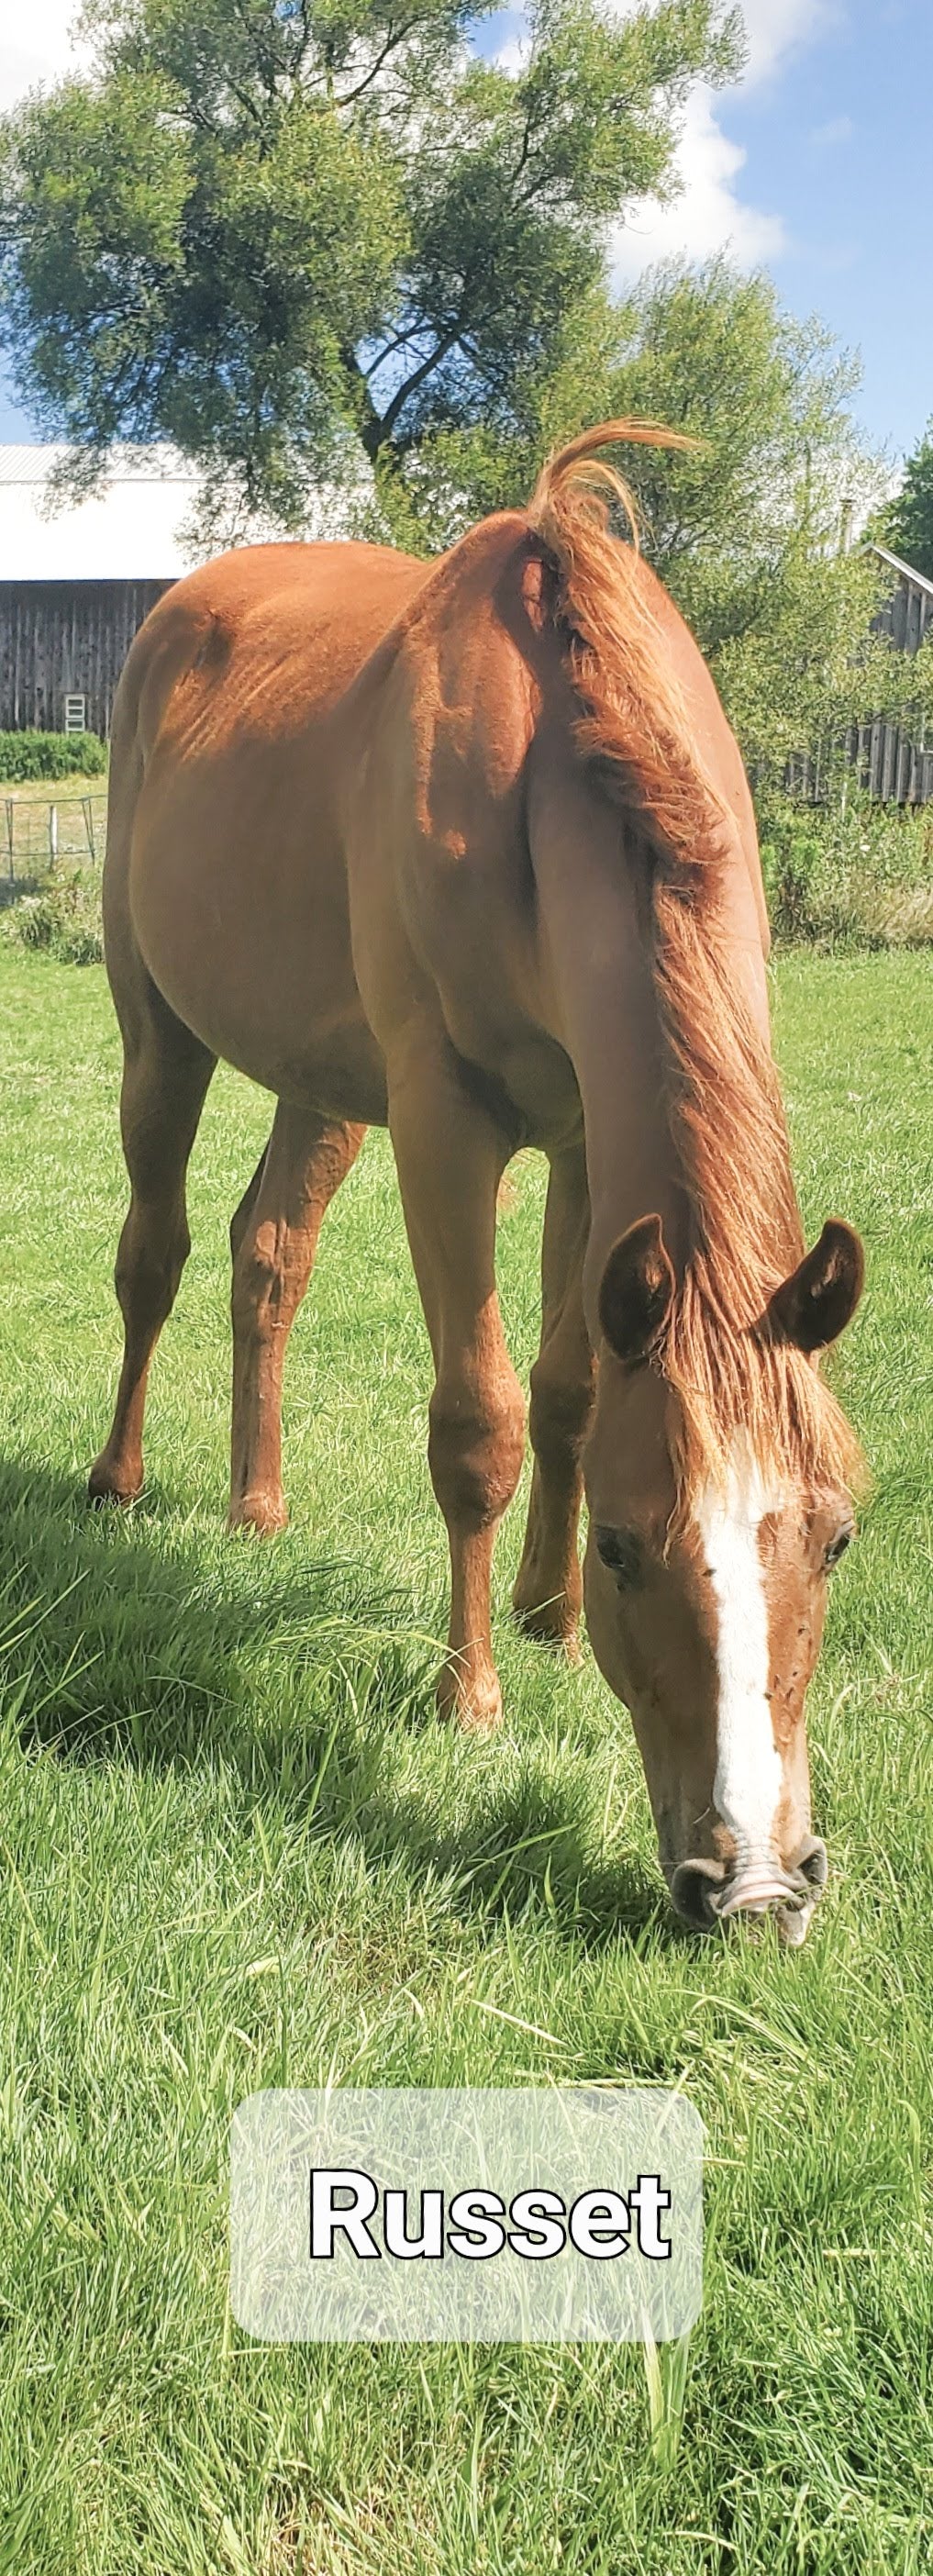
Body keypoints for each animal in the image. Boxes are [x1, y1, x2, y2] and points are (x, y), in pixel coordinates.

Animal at [89, 420, 865, 1945]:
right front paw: (472, 1692)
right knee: (153, 1252)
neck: (543, 763)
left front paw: (543, 1620)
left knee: (267, 1252)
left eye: (838, 1536)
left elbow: (566, 1389)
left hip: (326, 1082)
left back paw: (256, 1506)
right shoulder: (448, 1125)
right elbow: (481, 1421)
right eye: (629, 1546)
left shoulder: (581, 1141)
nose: (754, 1880)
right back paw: (120, 1480)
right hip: (163, 1033)